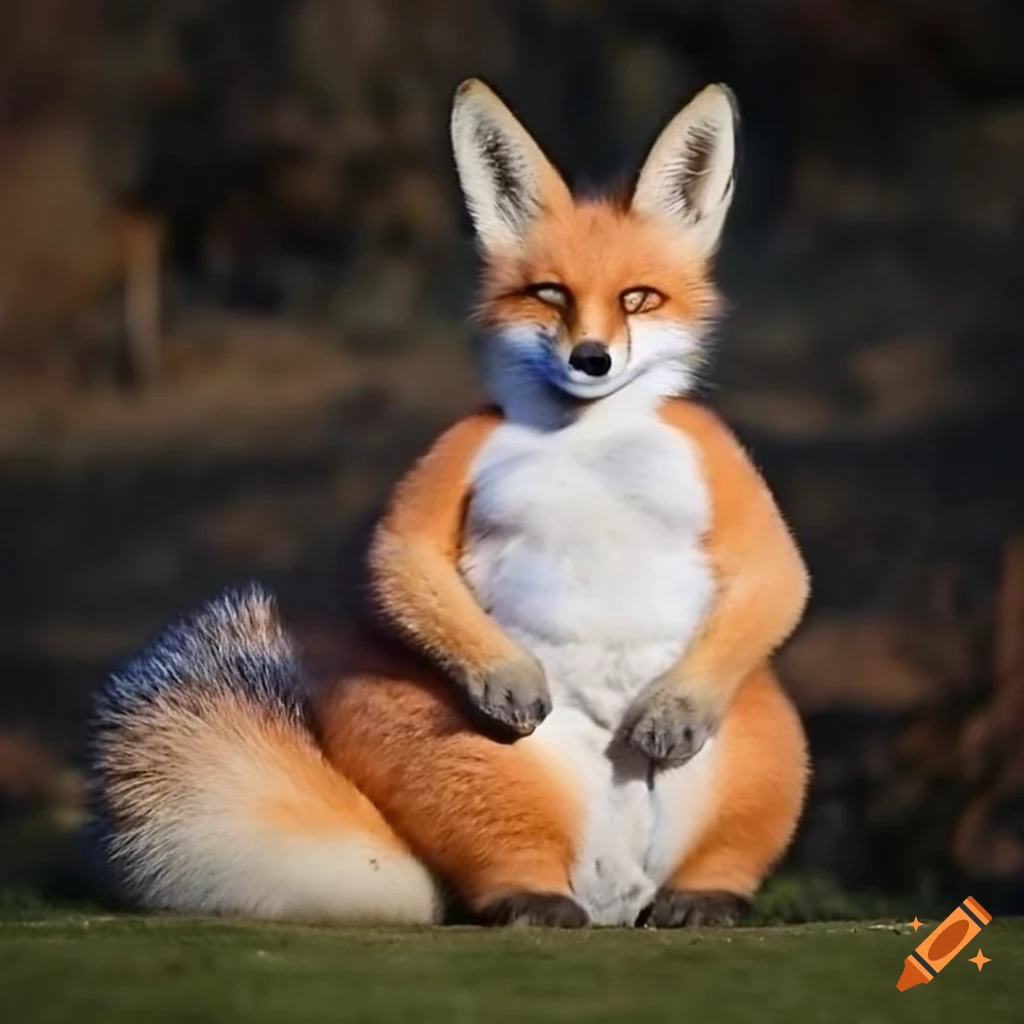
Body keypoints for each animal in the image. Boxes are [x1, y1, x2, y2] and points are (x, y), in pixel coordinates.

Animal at [88, 79, 810, 928]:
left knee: (717, 856)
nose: (591, 359)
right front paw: (506, 675)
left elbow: (780, 574)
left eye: (638, 298)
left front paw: (674, 711)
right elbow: (396, 561)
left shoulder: (723, 468)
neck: (589, 442)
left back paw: (703, 898)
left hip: (763, 736)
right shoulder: (448, 463)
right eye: (549, 295)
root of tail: (613, 897)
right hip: (456, 746)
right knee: (499, 874)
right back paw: (534, 899)